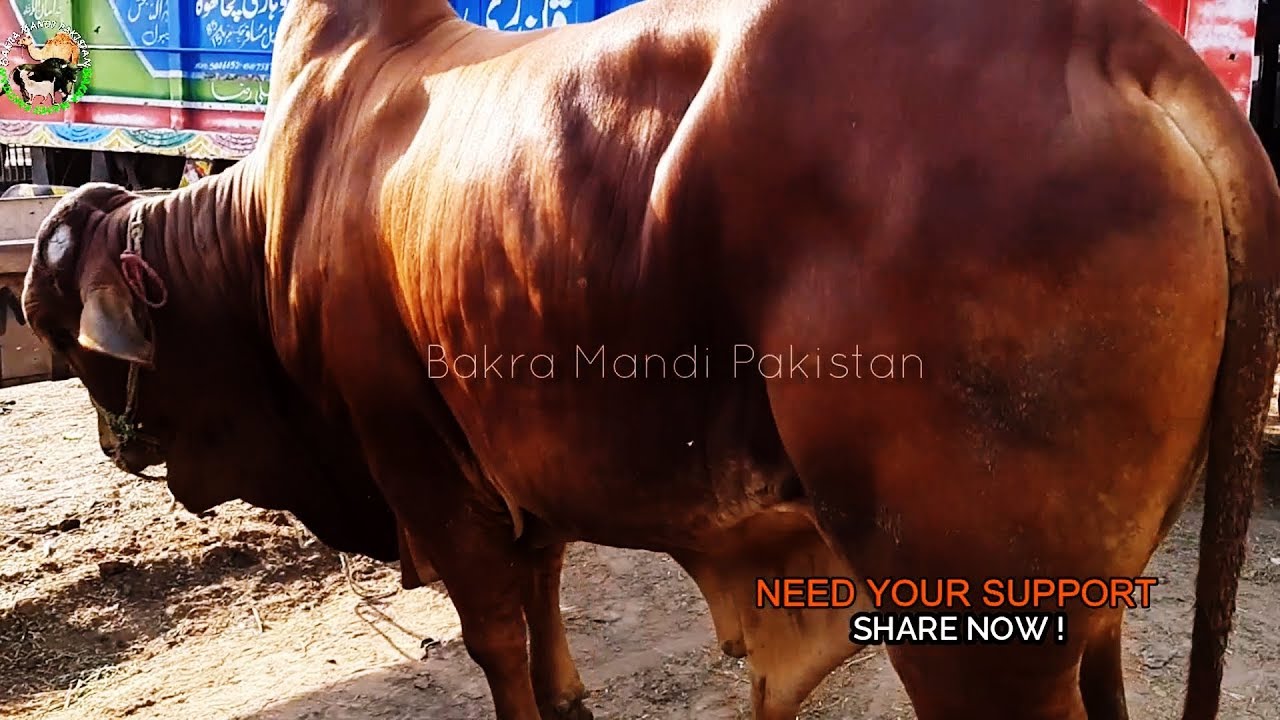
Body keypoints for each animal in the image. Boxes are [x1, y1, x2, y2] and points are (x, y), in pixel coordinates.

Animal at [19, 0, 1280, 718]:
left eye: (66, 341)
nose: (112, 447)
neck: (273, 220)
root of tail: (1119, 42)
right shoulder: (506, 448)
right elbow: (542, 584)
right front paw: (574, 694)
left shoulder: (414, 453)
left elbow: (492, 637)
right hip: (1094, 600)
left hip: (978, 623)